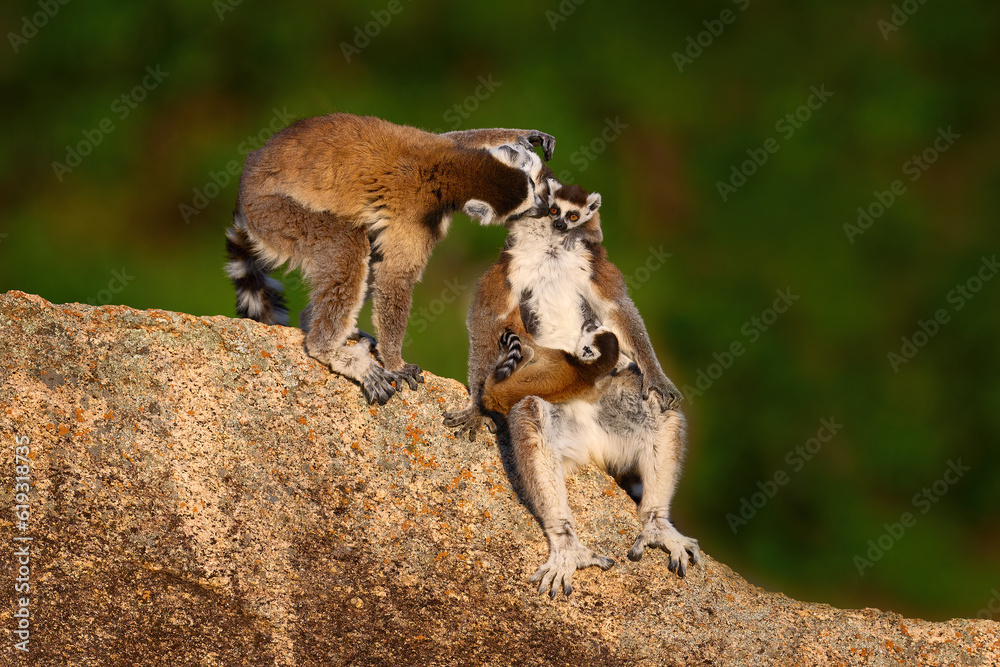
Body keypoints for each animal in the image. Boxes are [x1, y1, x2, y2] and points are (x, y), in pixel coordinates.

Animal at [225, 113, 556, 405]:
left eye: (532, 188)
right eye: (522, 210)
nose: (544, 207)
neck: (448, 173)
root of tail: (247, 179)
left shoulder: (442, 148)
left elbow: (456, 137)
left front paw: (525, 135)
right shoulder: (414, 212)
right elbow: (395, 278)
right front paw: (396, 363)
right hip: (275, 215)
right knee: (349, 245)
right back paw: (328, 350)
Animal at [445, 180, 698, 598]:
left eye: (573, 214)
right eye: (552, 211)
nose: (562, 223)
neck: (552, 252)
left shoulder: (593, 266)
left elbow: (619, 309)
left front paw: (658, 376)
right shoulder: (505, 270)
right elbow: (486, 319)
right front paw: (478, 408)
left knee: (660, 410)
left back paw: (657, 523)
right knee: (531, 414)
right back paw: (566, 543)